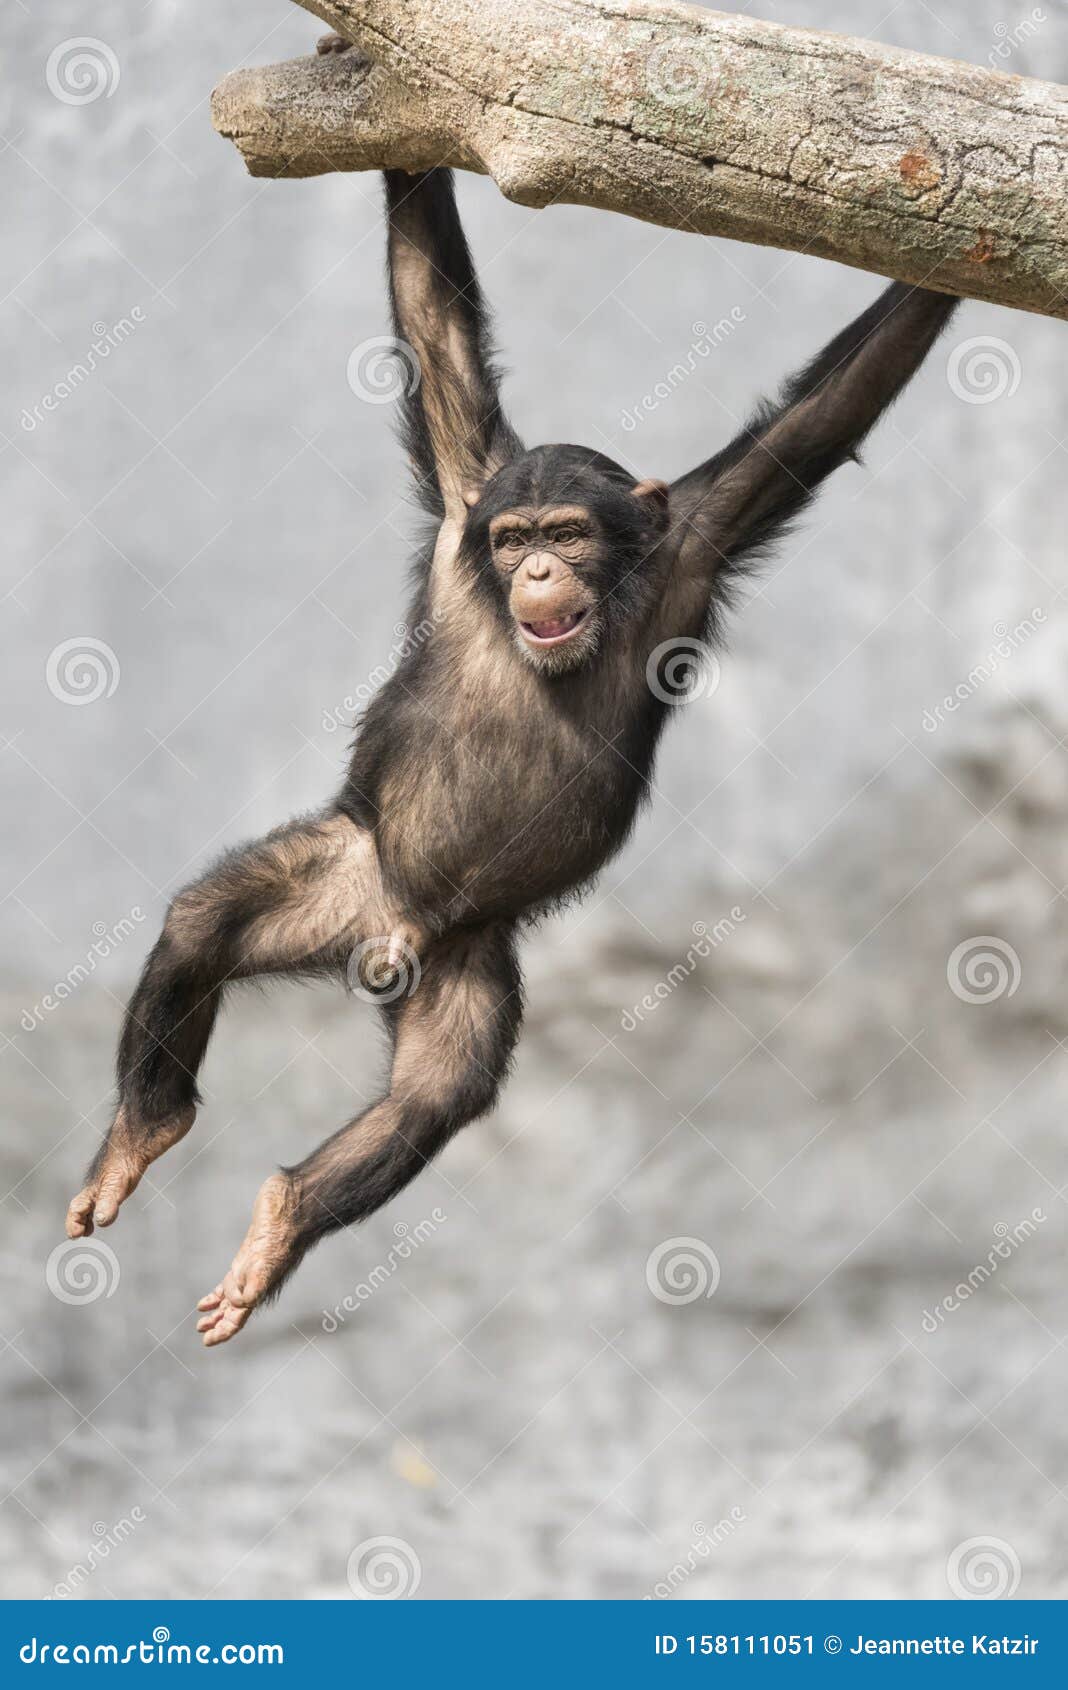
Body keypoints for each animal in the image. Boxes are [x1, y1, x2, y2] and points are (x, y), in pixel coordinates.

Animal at [65, 91, 960, 1346]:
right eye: (513, 537)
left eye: (568, 535)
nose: (536, 571)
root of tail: (386, 942)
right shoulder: (461, 492)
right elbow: (429, 308)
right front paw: (386, 94)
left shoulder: (703, 535)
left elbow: (825, 413)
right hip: (346, 873)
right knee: (202, 922)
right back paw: (143, 1130)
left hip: (468, 962)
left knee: (437, 1095)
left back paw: (284, 1216)